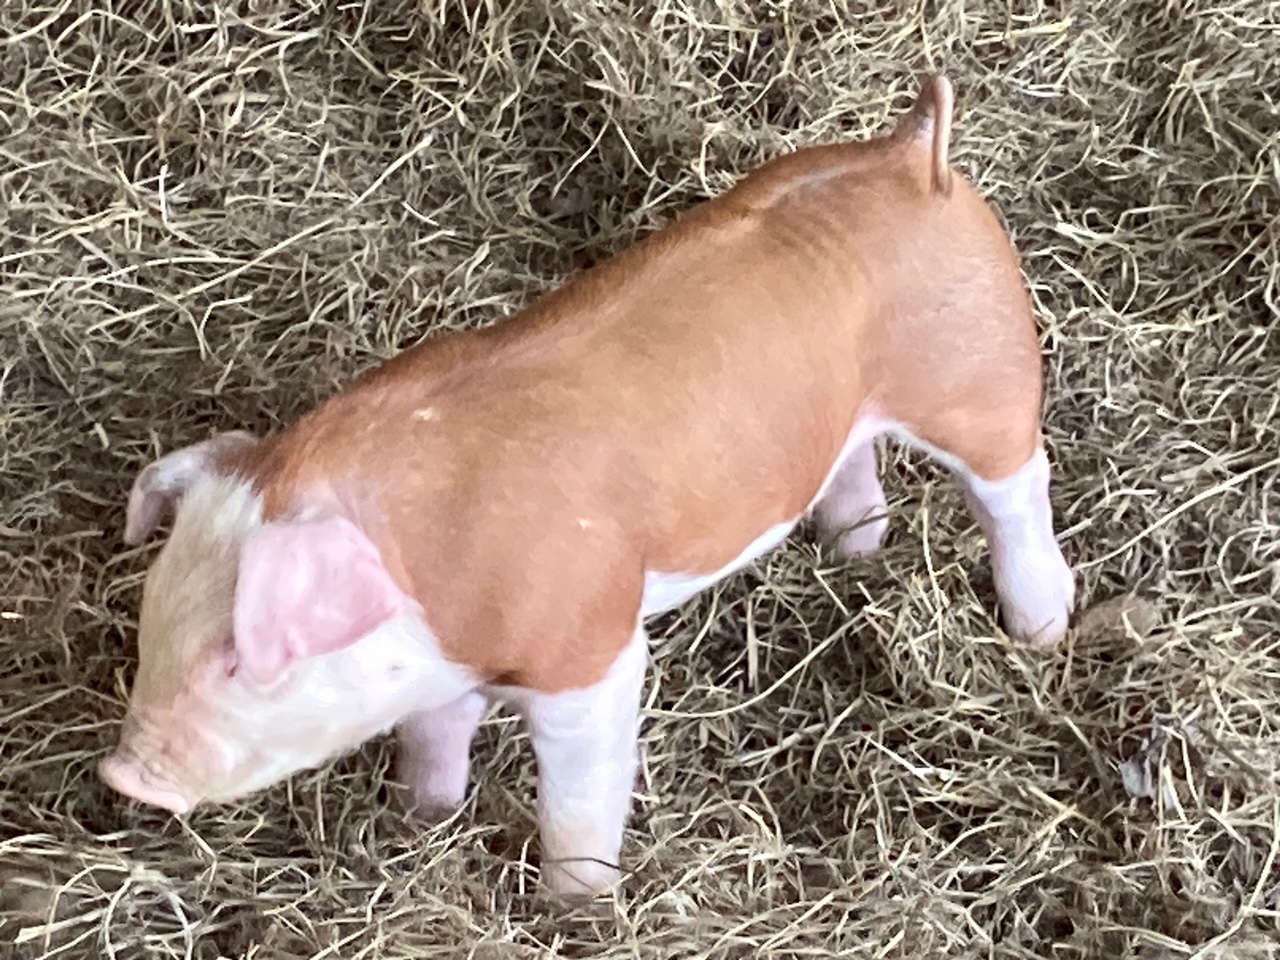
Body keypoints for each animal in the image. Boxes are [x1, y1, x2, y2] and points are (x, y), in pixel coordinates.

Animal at [99, 74, 1076, 897]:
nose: (125, 775)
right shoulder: (442, 670)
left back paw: (1040, 629)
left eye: (242, 656)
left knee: (1018, 488)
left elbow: (579, 791)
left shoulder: (593, 649)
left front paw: (578, 906)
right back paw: (855, 551)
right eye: (153, 625)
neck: (430, 563)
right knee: (854, 466)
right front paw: (424, 819)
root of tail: (914, 157)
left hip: (980, 381)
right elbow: (434, 736)